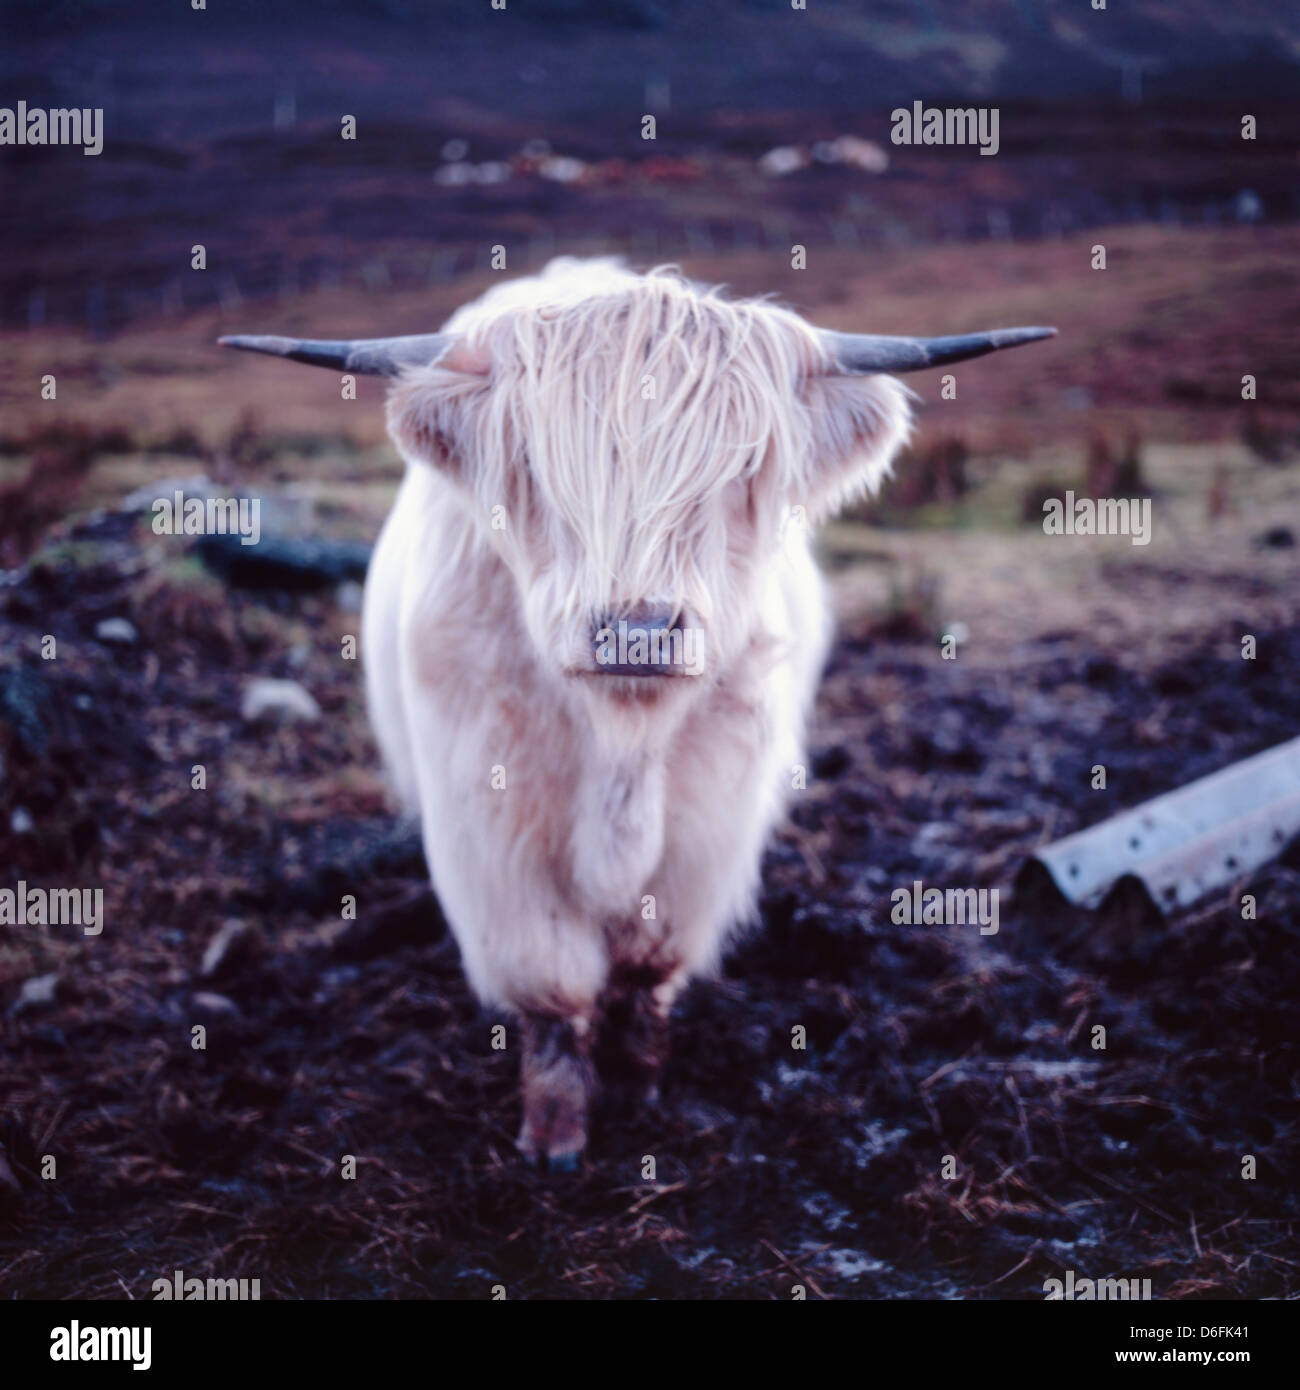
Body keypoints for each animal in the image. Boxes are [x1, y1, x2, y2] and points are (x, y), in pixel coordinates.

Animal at [221, 258, 1053, 1168]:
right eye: (537, 469)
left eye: (743, 472)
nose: (638, 633)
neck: (623, 750)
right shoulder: (489, 822)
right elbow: (550, 979)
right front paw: (555, 1132)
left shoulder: (710, 818)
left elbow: (652, 961)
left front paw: (644, 1087)